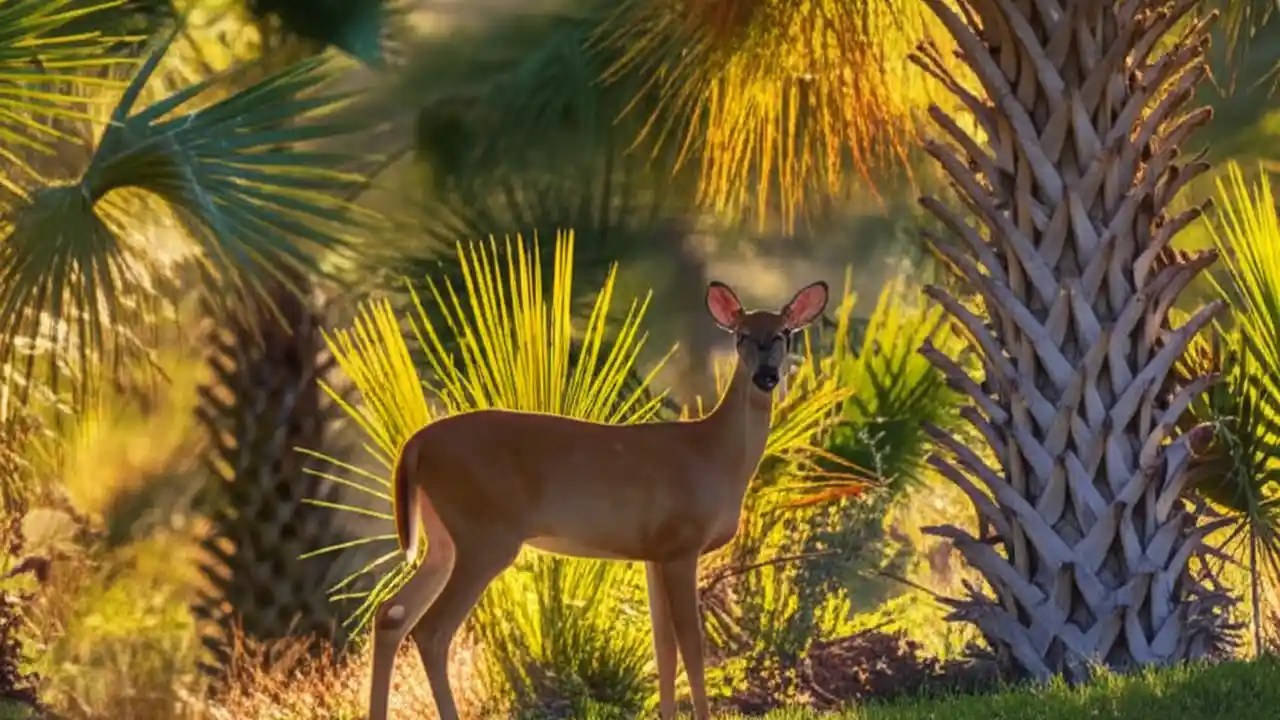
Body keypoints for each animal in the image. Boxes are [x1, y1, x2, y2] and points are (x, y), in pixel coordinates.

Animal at [367, 279, 830, 720]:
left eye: (784, 333)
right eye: (741, 335)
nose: (766, 376)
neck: (714, 453)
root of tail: (416, 443)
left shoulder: (654, 552)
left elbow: (663, 649)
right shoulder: (681, 543)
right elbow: (692, 648)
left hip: (444, 539)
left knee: (391, 613)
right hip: (485, 534)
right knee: (431, 629)